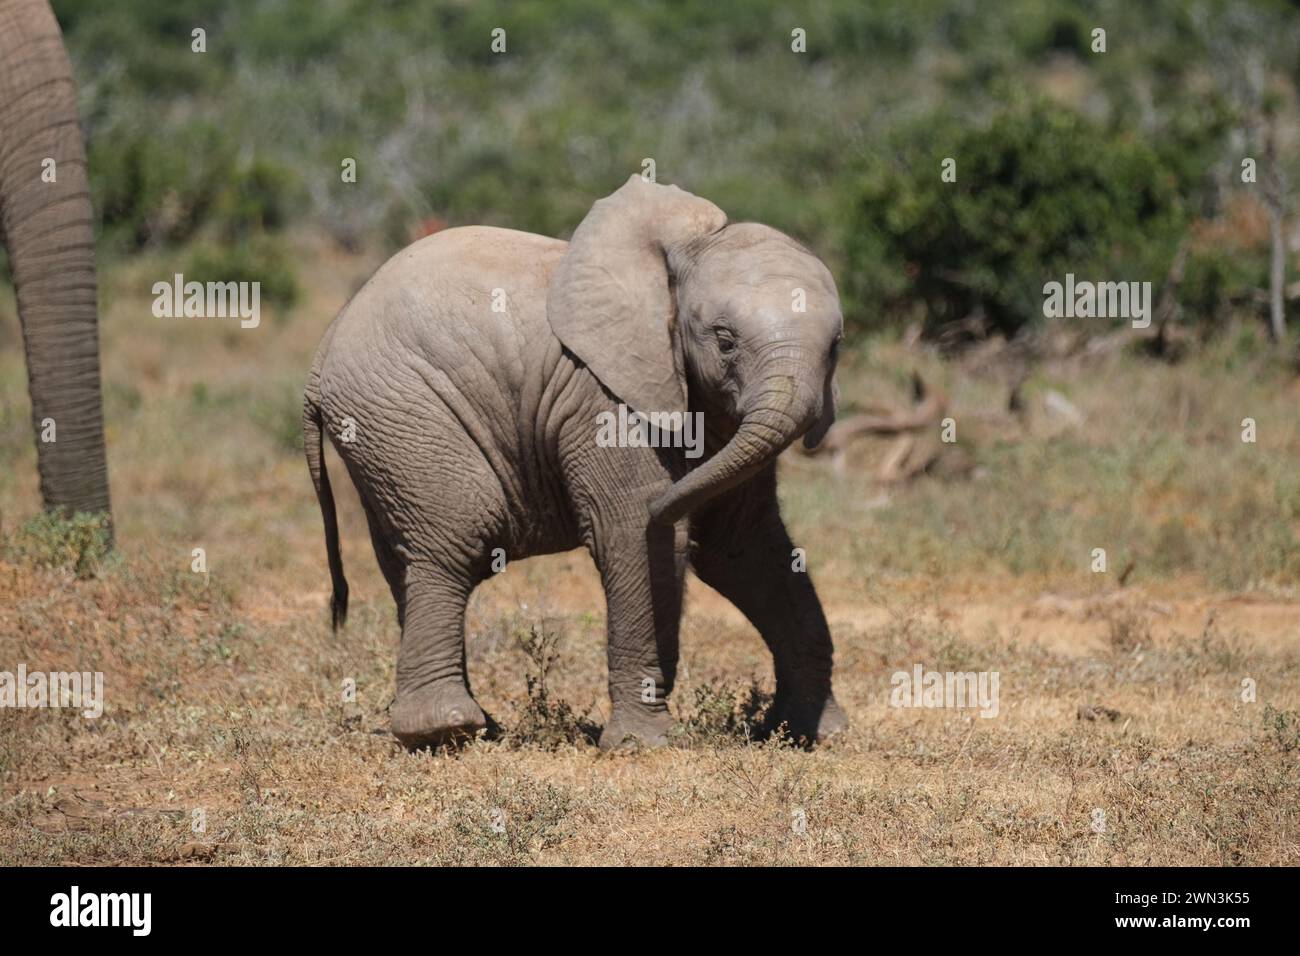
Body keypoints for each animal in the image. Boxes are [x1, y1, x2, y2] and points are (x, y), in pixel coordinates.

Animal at [304, 175, 848, 750]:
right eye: (724, 341)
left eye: (836, 347)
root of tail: (323, 352)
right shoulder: (601, 400)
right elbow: (632, 531)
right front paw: (643, 746)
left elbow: (745, 550)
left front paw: (813, 734)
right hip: (403, 411)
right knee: (452, 544)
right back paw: (446, 730)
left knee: (404, 562)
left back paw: (478, 728)